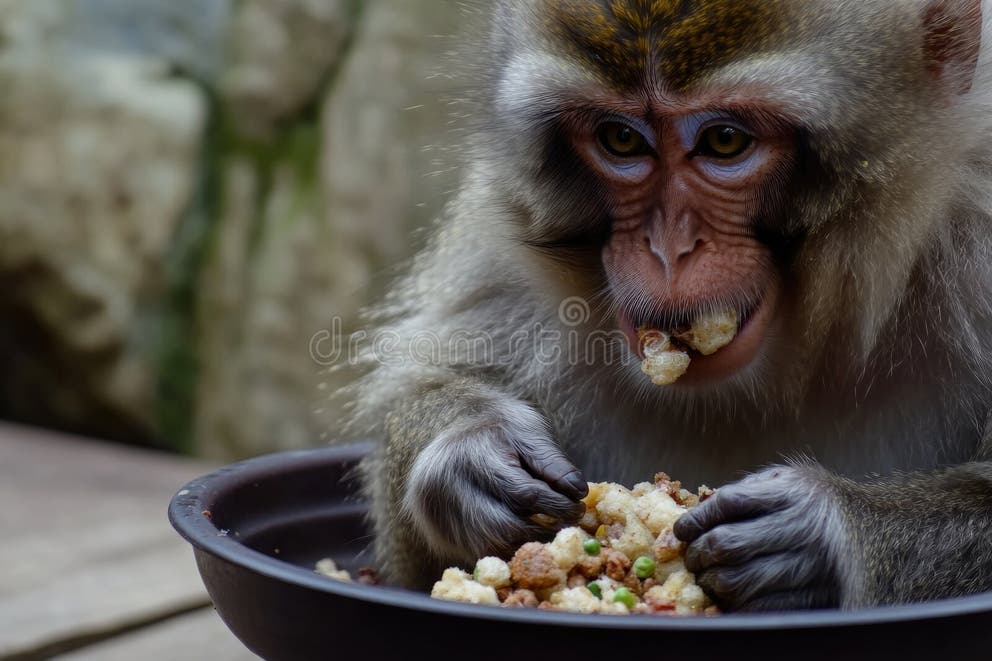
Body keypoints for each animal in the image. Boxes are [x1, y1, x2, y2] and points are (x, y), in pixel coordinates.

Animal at [346, 0, 992, 612]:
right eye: (621, 139)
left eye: (725, 141)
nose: (667, 249)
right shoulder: (498, 245)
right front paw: (470, 450)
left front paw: (821, 532)